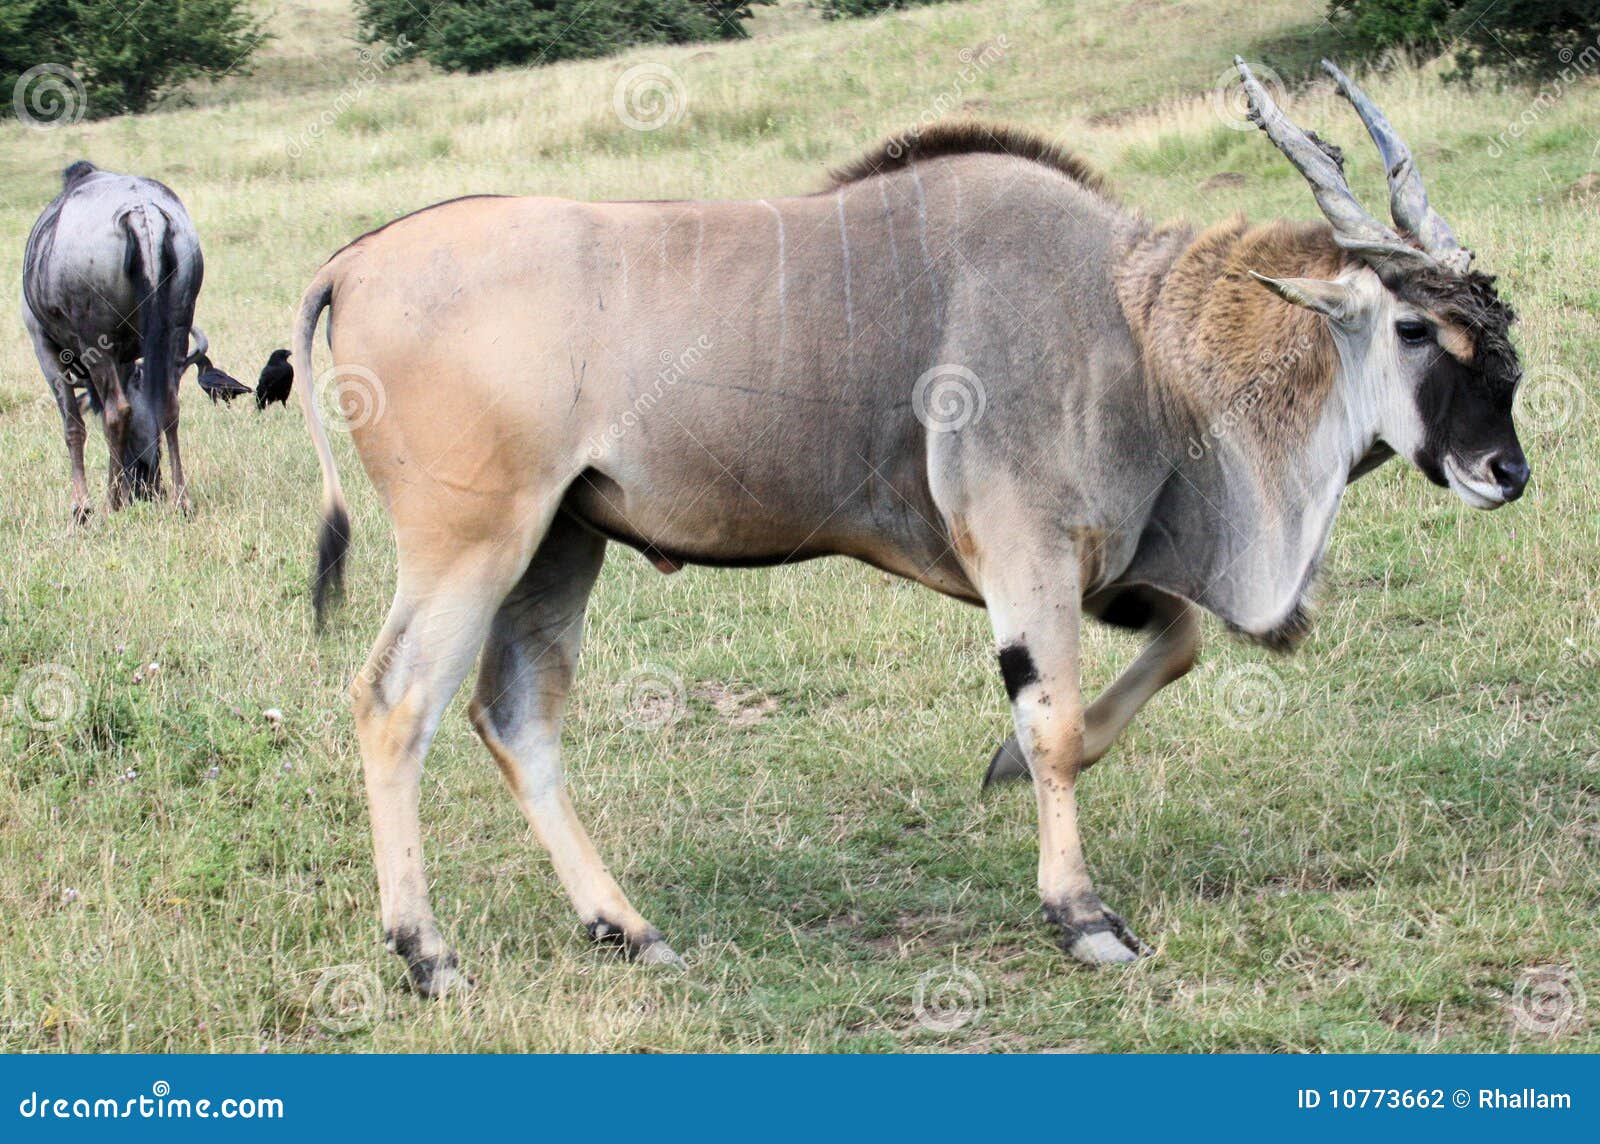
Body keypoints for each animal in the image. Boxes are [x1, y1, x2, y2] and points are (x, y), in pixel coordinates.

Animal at [22, 160, 206, 523]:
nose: (146, 488)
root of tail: (142, 211)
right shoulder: (126, 359)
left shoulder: (44, 346)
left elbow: (74, 426)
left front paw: (82, 507)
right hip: (176, 328)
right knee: (168, 403)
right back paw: (180, 500)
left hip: (97, 342)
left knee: (115, 412)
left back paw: (109, 503)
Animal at [292, 59, 1528, 994]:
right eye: (1415, 327)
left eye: (1500, 331)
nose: (1503, 470)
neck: (1136, 328)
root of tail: (350, 261)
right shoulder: (1027, 556)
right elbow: (1058, 723)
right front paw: (1083, 917)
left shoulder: (1095, 571)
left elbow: (1165, 650)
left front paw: (997, 774)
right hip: (473, 545)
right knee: (394, 703)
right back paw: (429, 957)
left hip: (560, 543)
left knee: (515, 717)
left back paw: (627, 929)